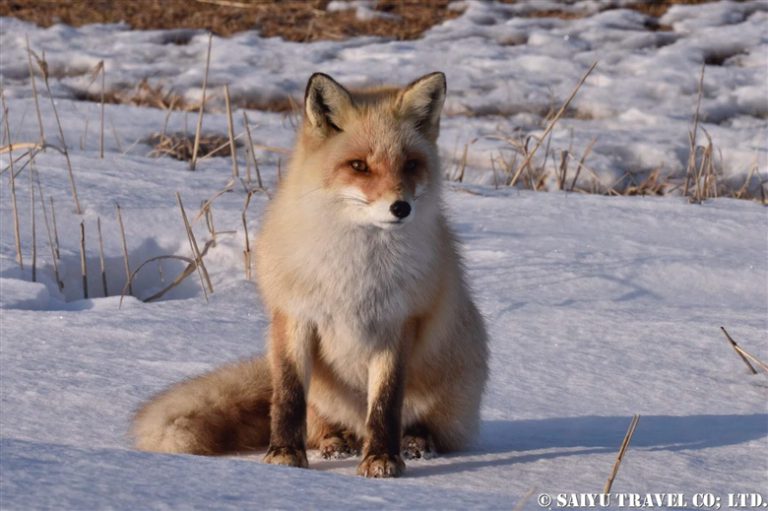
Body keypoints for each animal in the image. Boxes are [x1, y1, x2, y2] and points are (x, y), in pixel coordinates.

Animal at [132, 71, 489, 478]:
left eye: (411, 164)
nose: (401, 207)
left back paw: (414, 443)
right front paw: (285, 455)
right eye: (359, 166)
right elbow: (288, 398)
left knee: (422, 428)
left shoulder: (397, 324)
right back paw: (335, 442)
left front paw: (382, 459)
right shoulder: (295, 316)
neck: (353, 265)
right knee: (319, 425)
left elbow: (385, 406)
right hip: (318, 392)